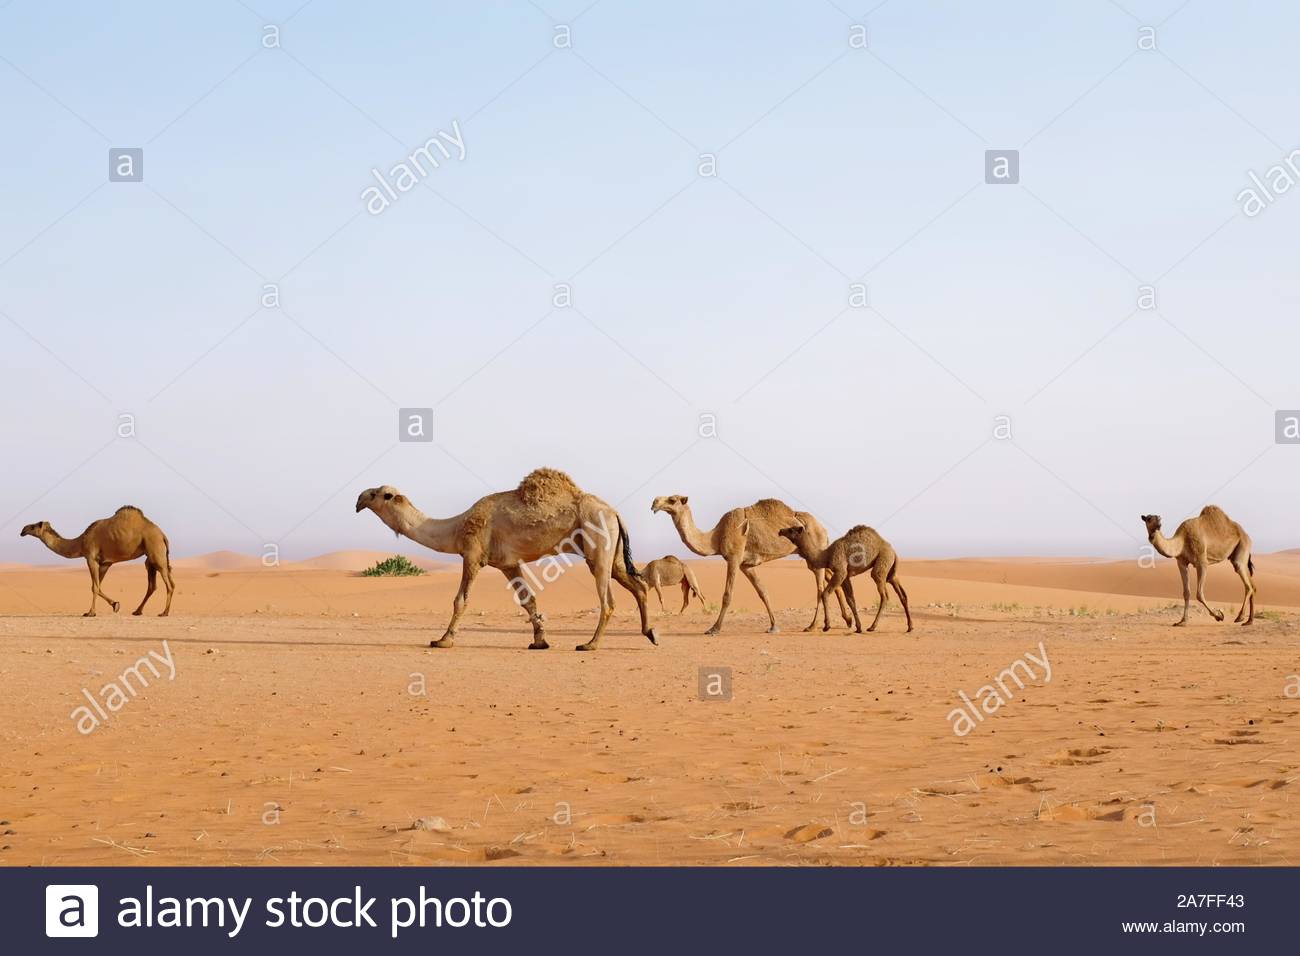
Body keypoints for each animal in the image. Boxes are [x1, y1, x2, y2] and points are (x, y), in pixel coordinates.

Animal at [19, 506, 175, 617]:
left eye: (33, 526)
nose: (23, 530)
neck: (81, 542)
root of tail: (162, 535)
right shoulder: (105, 563)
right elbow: (99, 586)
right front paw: (115, 604)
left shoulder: (91, 558)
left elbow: (94, 586)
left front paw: (90, 612)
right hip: (152, 558)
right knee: (153, 584)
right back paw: (137, 611)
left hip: (155, 550)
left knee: (169, 584)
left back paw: (164, 612)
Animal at [356, 468, 658, 651]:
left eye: (380, 494)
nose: (359, 499)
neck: (457, 526)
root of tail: (614, 512)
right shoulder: (508, 564)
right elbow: (529, 600)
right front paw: (539, 641)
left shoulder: (472, 555)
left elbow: (461, 600)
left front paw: (443, 640)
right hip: (613, 552)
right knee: (637, 585)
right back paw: (650, 633)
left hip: (599, 543)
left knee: (608, 599)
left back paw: (590, 644)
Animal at [650, 495, 852, 635]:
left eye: (672, 499)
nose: (654, 503)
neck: (715, 536)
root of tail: (822, 527)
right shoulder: (746, 565)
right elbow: (762, 592)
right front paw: (773, 626)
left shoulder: (734, 557)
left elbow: (727, 595)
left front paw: (714, 628)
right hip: (813, 555)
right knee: (833, 580)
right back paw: (847, 620)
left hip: (816, 550)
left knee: (820, 588)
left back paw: (813, 626)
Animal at [778, 523, 913, 633]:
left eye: (791, 530)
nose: (780, 531)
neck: (826, 555)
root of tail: (893, 551)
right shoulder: (846, 576)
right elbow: (850, 599)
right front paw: (858, 627)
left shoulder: (840, 571)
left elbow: (825, 594)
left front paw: (827, 626)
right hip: (891, 570)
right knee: (902, 593)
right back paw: (910, 627)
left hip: (882, 562)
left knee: (884, 593)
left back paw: (872, 627)